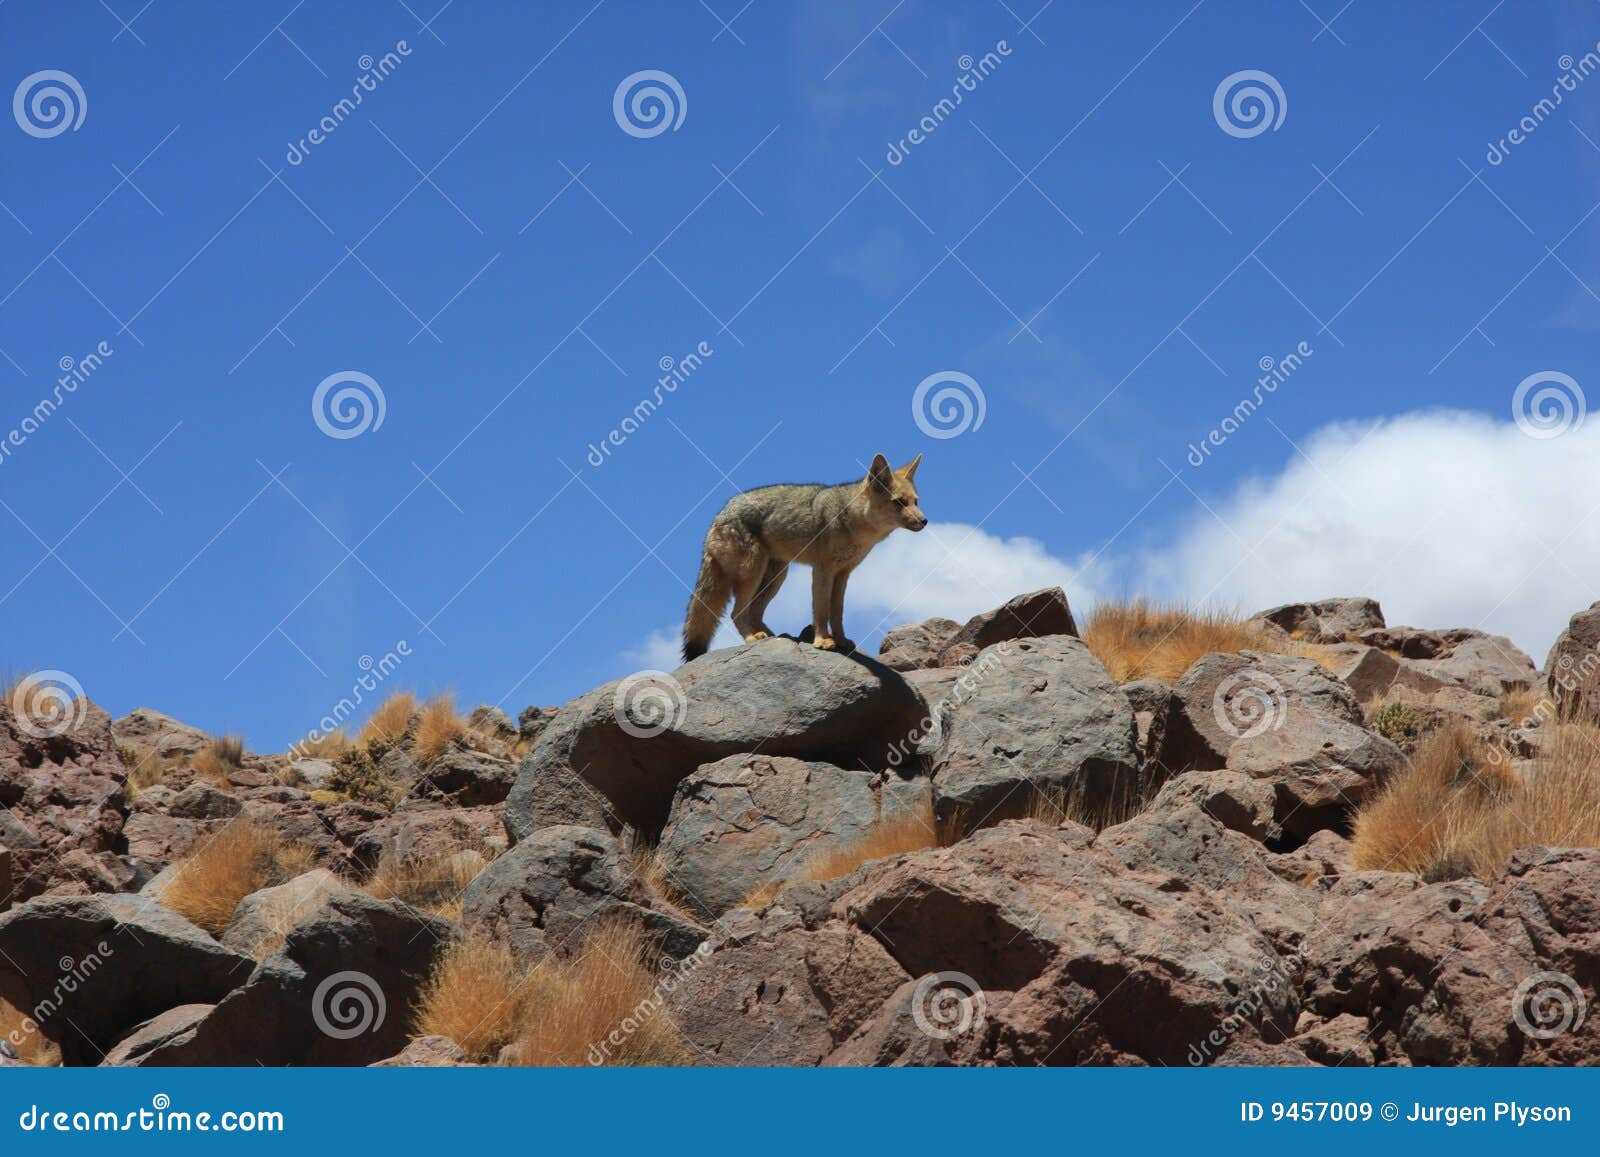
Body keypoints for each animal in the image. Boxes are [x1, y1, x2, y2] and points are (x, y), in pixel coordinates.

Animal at [682, 453, 927, 662]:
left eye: (916, 501)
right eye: (899, 502)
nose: (924, 521)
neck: (852, 520)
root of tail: (718, 515)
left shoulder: (843, 574)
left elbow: (837, 612)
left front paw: (840, 640)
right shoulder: (822, 570)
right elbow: (821, 610)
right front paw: (822, 641)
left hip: (775, 579)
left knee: (754, 613)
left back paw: (775, 636)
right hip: (753, 574)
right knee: (737, 613)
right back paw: (753, 637)